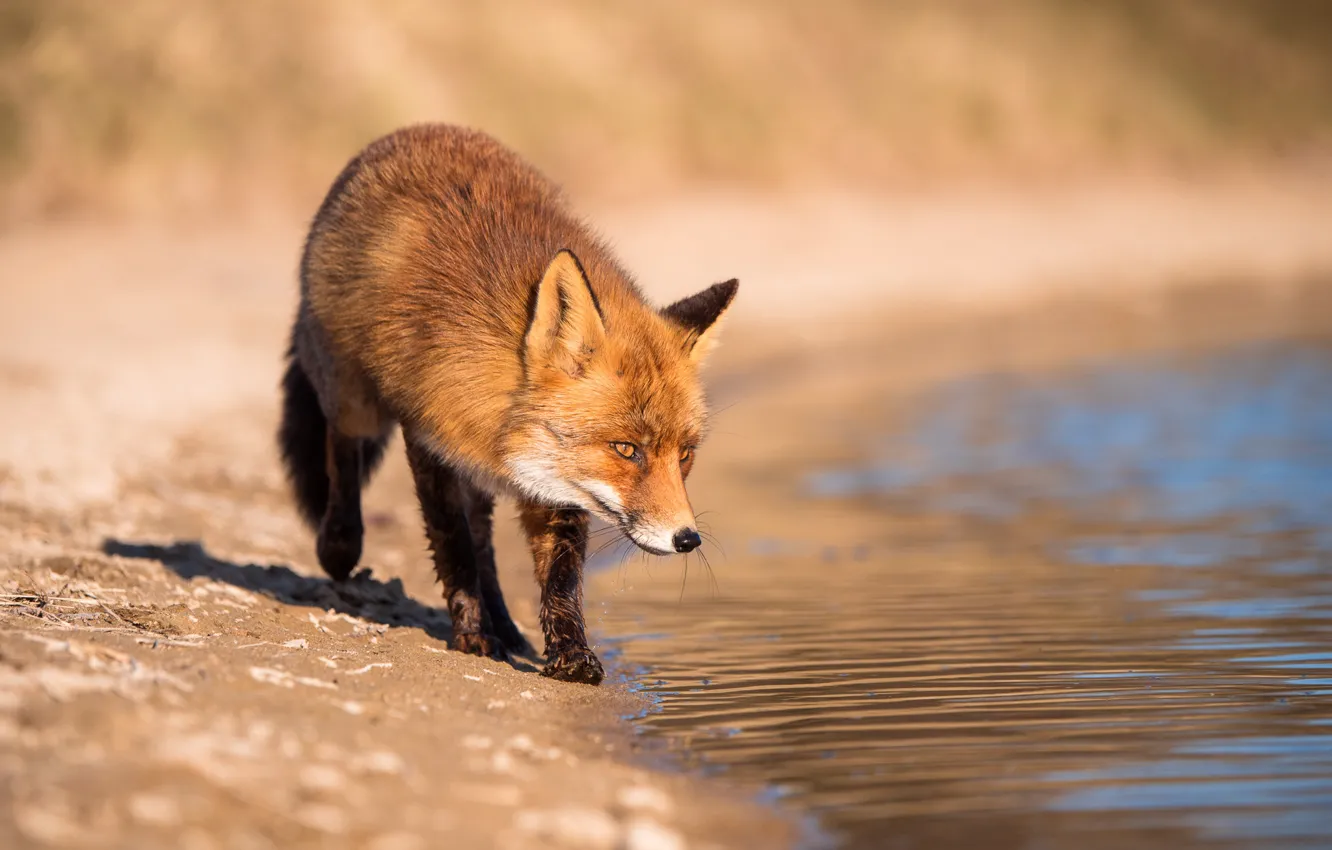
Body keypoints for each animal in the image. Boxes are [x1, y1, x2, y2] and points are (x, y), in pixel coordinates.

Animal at [279, 124, 736, 685]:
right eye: (627, 449)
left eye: (685, 455)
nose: (687, 539)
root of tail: (422, 129)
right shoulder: (430, 441)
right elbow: (453, 548)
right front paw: (472, 636)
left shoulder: (558, 478)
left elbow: (558, 578)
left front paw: (569, 652)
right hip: (354, 399)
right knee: (343, 449)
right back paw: (341, 545)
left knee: (484, 539)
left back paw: (504, 621)